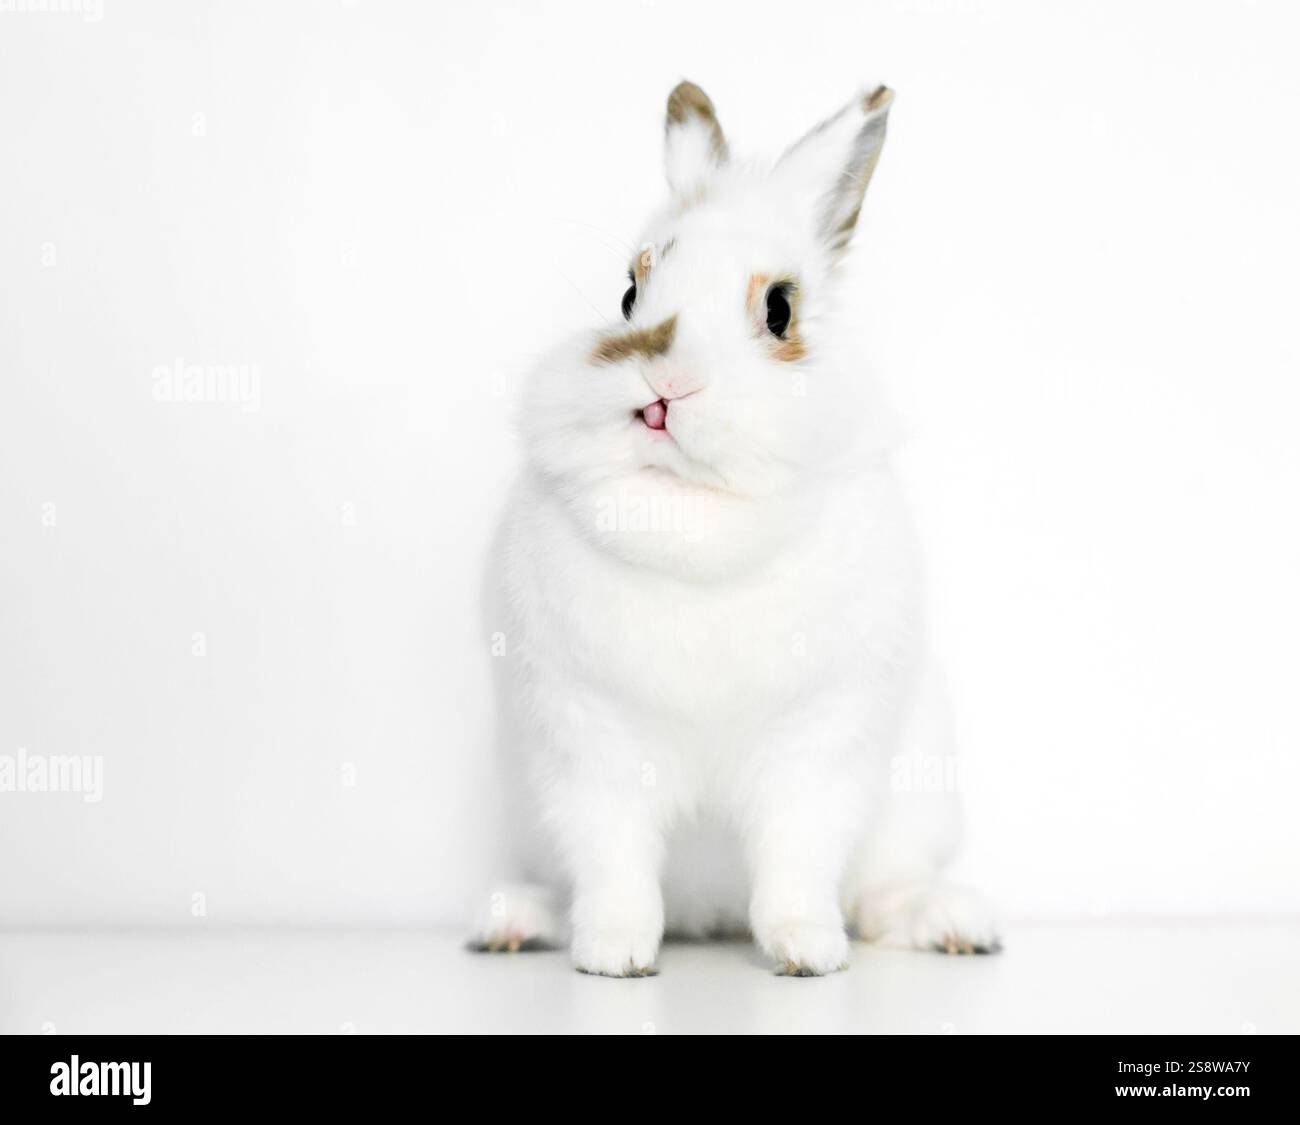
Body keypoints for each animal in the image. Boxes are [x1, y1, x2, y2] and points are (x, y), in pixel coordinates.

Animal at [470, 79, 1000, 976]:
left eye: (780, 309)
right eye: (628, 293)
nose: (662, 382)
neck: (693, 520)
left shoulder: (819, 749)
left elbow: (796, 859)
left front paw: (806, 950)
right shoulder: (589, 753)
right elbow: (613, 864)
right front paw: (614, 954)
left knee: (883, 891)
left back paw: (951, 923)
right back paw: (509, 922)